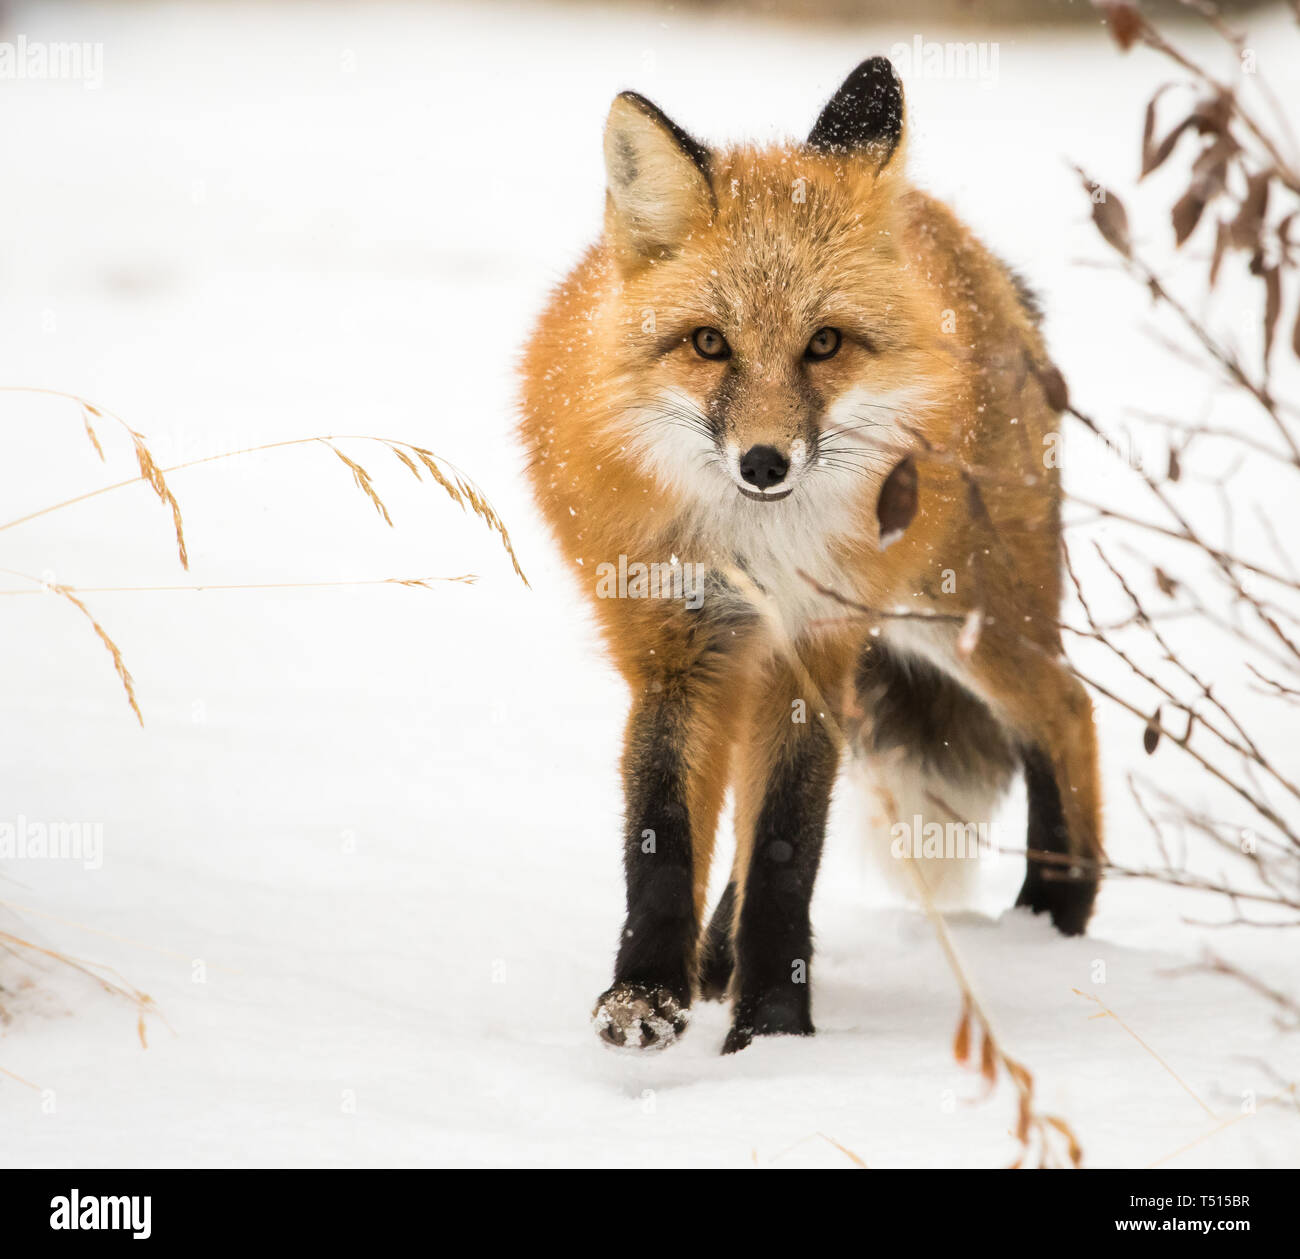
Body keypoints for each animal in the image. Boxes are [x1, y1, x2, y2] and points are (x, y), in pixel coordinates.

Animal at [518, 58, 1103, 1054]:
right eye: (709, 343)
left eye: (824, 342)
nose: (763, 463)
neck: (760, 550)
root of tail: (970, 245)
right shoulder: (682, 648)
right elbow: (665, 838)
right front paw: (648, 993)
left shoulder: (815, 643)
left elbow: (787, 849)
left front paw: (774, 1033)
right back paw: (713, 956)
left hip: (961, 614)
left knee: (1069, 709)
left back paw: (1052, 917)